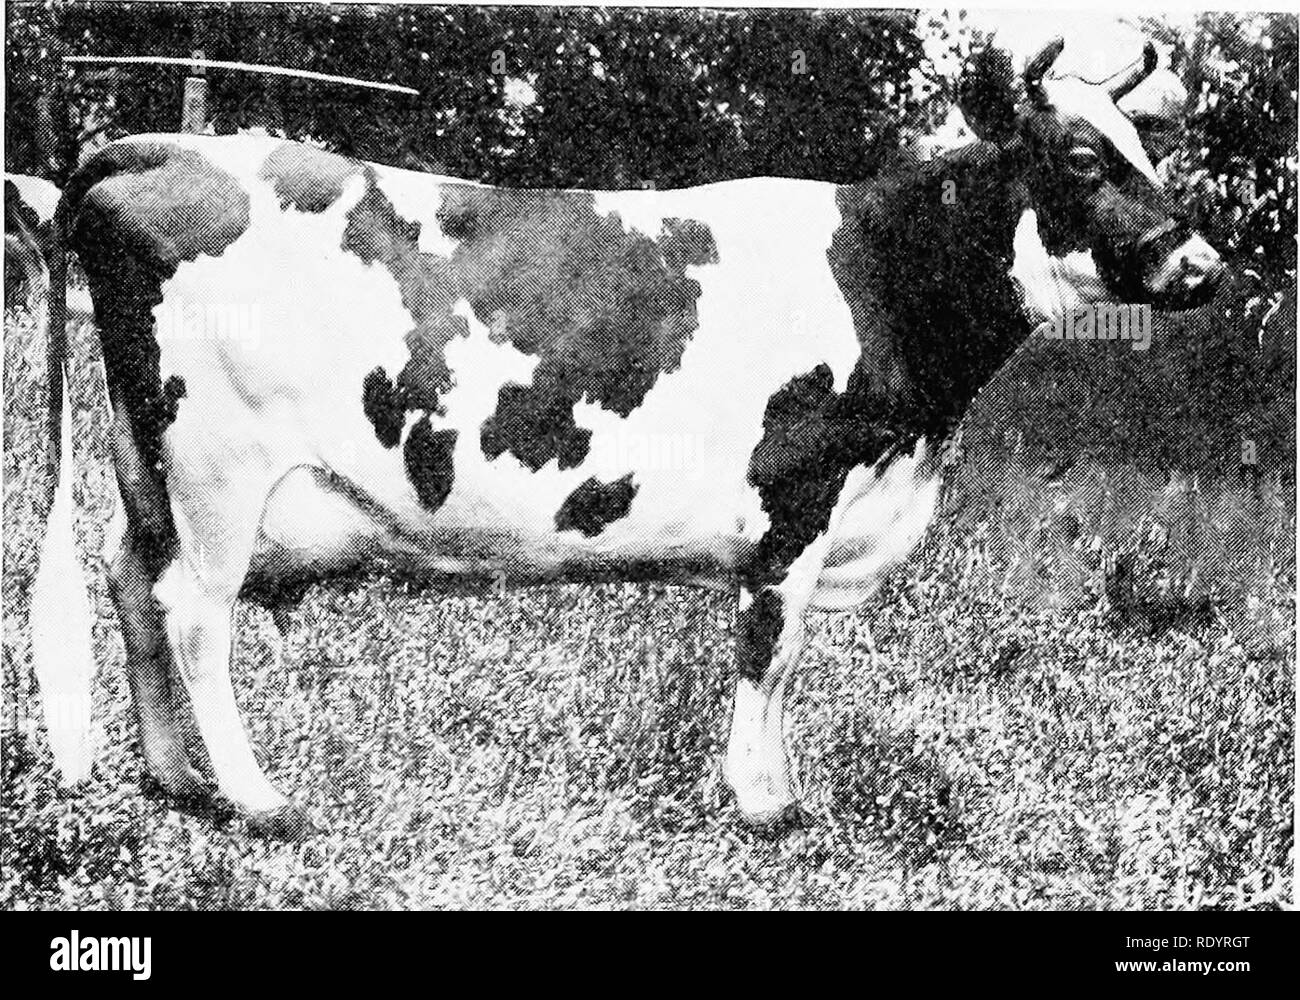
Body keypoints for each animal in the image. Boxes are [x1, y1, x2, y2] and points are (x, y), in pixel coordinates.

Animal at [32, 39, 1223, 836]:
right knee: (194, 613)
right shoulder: (797, 503)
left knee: (130, 581)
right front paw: (762, 803)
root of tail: (156, 146)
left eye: (1148, 150)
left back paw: (175, 778)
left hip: (147, 465)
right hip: (218, 471)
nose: (1200, 262)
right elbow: (769, 651)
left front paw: (776, 791)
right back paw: (258, 796)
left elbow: (779, 660)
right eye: (1082, 157)